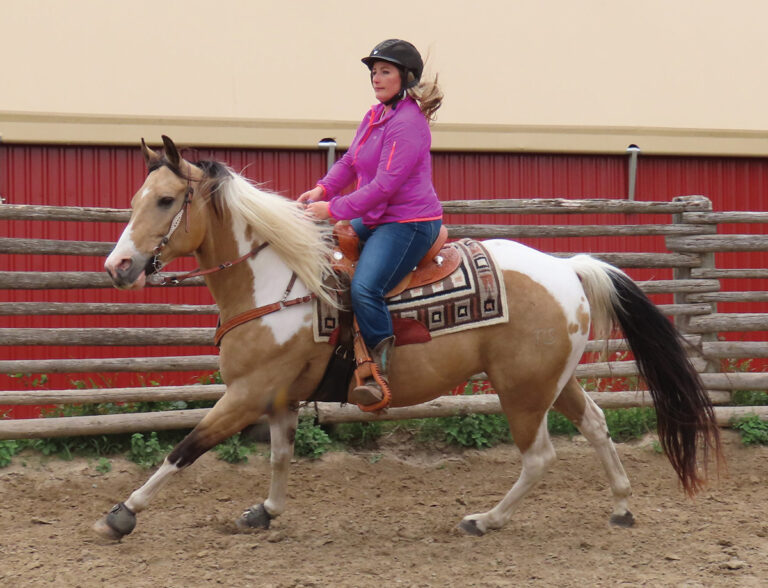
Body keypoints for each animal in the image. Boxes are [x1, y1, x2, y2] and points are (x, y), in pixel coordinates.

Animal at [97, 135, 721, 540]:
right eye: (136, 199)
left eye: (166, 200)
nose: (118, 266)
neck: (276, 282)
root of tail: (567, 268)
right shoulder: (278, 399)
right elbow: (279, 456)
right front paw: (265, 511)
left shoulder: (246, 394)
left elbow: (186, 447)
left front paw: (122, 513)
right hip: (553, 380)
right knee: (595, 425)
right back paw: (620, 506)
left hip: (521, 391)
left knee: (539, 456)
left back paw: (485, 520)